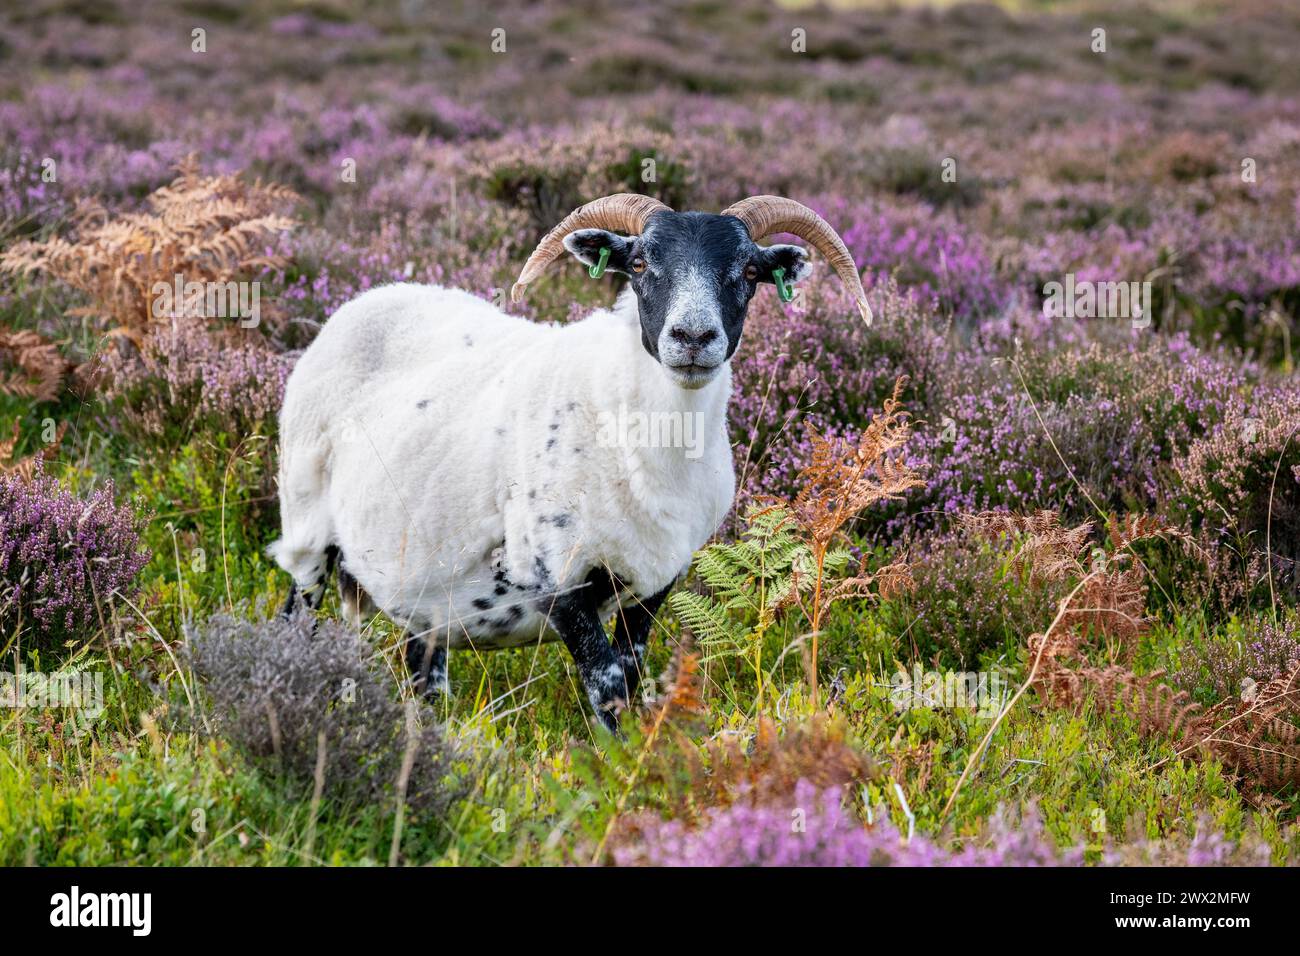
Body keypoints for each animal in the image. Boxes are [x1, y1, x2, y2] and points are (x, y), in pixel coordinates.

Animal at [269, 193, 871, 732]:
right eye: (639, 264)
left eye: (748, 270)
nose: (693, 337)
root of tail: (372, 297)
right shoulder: (554, 577)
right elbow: (606, 685)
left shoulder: (655, 583)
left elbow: (630, 677)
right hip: (307, 530)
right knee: (295, 617)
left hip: (421, 581)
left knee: (424, 669)